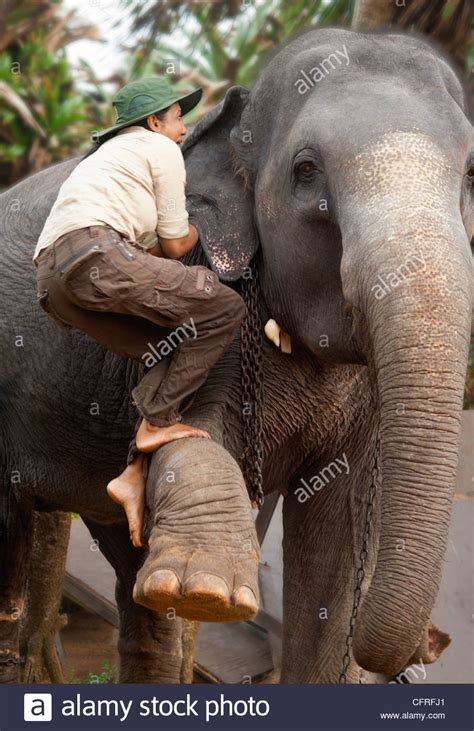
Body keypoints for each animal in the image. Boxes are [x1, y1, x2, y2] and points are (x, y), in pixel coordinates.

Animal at [0, 26, 472, 684]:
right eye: (306, 171)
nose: (428, 648)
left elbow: (338, 539)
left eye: (471, 173)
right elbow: (199, 433)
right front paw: (208, 588)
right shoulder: (204, 299)